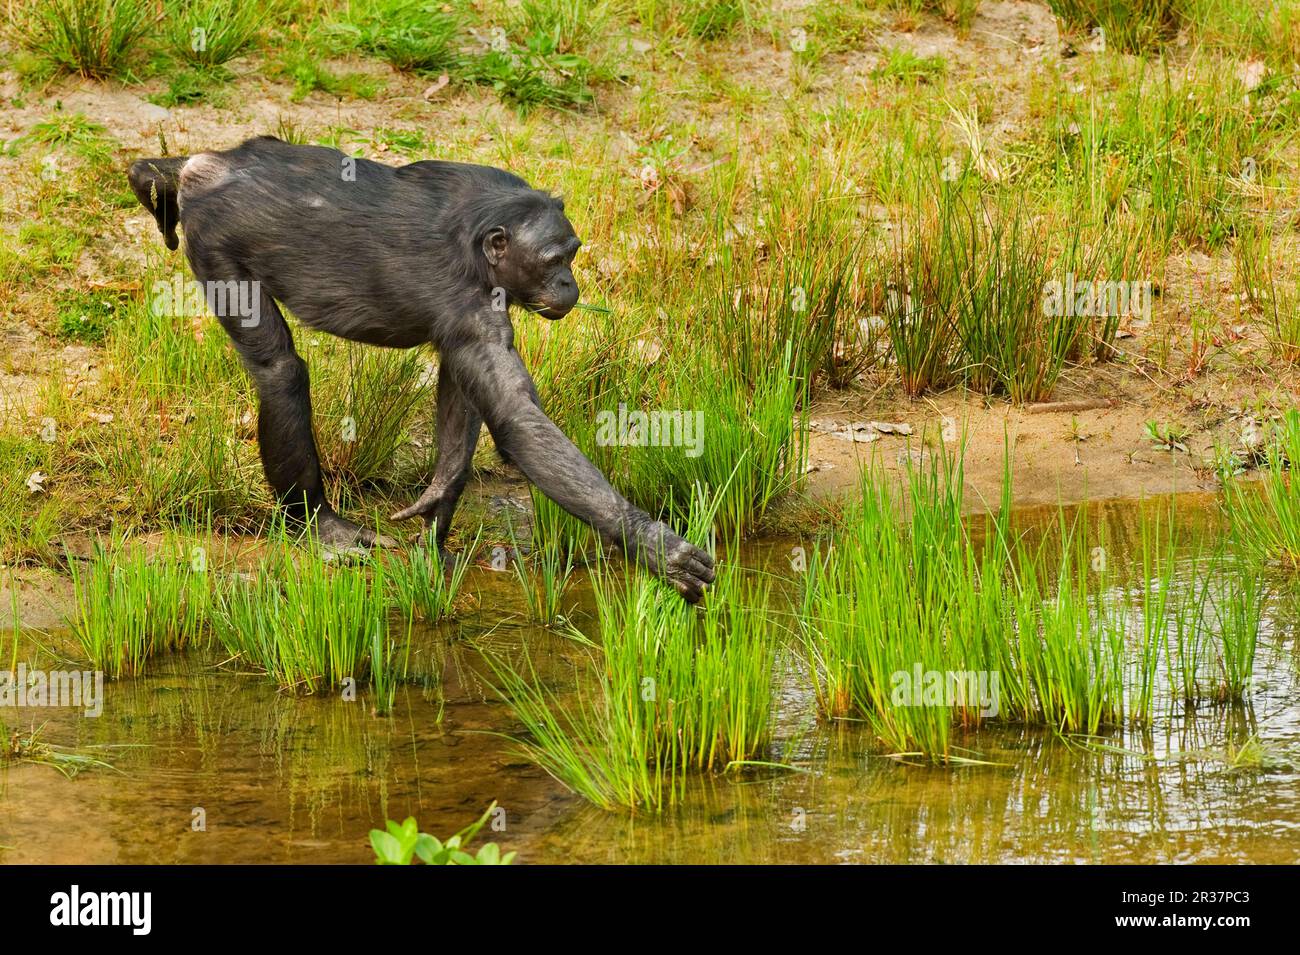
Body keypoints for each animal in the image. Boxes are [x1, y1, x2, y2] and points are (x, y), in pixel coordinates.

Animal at [126, 136, 715, 601]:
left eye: (572, 253)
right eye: (554, 259)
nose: (570, 283)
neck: (482, 246)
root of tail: (209, 166)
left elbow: (464, 396)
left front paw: (438, 508)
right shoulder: (469, 307)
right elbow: (518, 420)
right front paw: (656, 545)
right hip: (216, 243)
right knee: (279, 370)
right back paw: (321, 524)